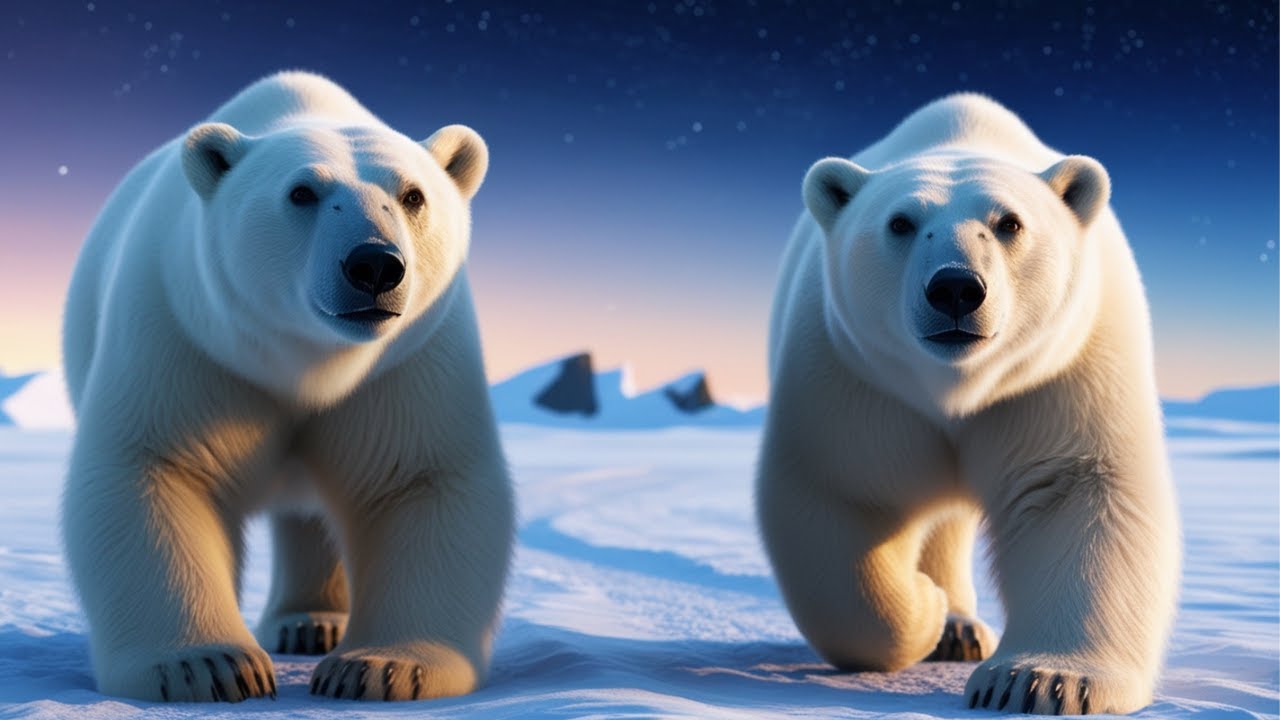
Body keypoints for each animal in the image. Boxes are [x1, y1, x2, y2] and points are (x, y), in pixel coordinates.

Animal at [60, 71, 515, 702]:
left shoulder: (406, 366)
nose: (374, 265)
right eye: (301, 193)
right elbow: (159, 470)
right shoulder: (189, 341)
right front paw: (208, 666)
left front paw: (380, 668)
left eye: (412, 195)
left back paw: (313, 624)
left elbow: (421, 480)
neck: (308, 364)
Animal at [756, 93, 1179, 715]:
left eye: (1009, 223)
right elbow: (842, 497)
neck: (958, 388)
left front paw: (1039, 682)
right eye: (900, 222)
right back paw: (953, 623)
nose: (955, 287)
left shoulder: (1060, 375)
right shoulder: (857, 383)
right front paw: (925, 607)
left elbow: (1078, 492)